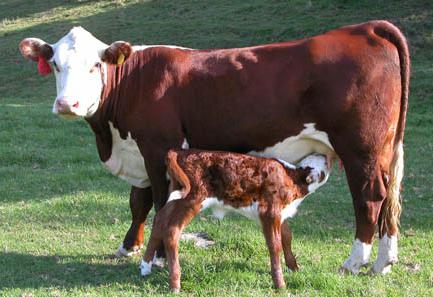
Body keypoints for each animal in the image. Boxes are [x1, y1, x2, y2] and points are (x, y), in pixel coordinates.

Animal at [19, 19, 408, 274]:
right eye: (55, 64)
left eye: (96, 65)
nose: (67, 104)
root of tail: (366, 28)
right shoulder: (138, 150)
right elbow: (137, 201)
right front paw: (128, 247)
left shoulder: (158, 146)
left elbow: (159, 201)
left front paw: (157, 257)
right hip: (384, 151)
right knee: (388, 200)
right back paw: (383, 262)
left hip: (360, 149)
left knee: (369, 199)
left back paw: (354, 262)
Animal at [140, 149, 330, 290]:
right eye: (324, 164)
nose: (325, 154)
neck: (292, 177)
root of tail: (179, 152)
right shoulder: (270, 212)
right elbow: (275, 245)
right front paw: (280, 283)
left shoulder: (280, 213)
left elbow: (287, 237)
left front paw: (294, 267)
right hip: (192, 200)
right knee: (172, 231)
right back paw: (175, 283)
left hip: (177, 197)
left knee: (158, 221)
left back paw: (145, 267)